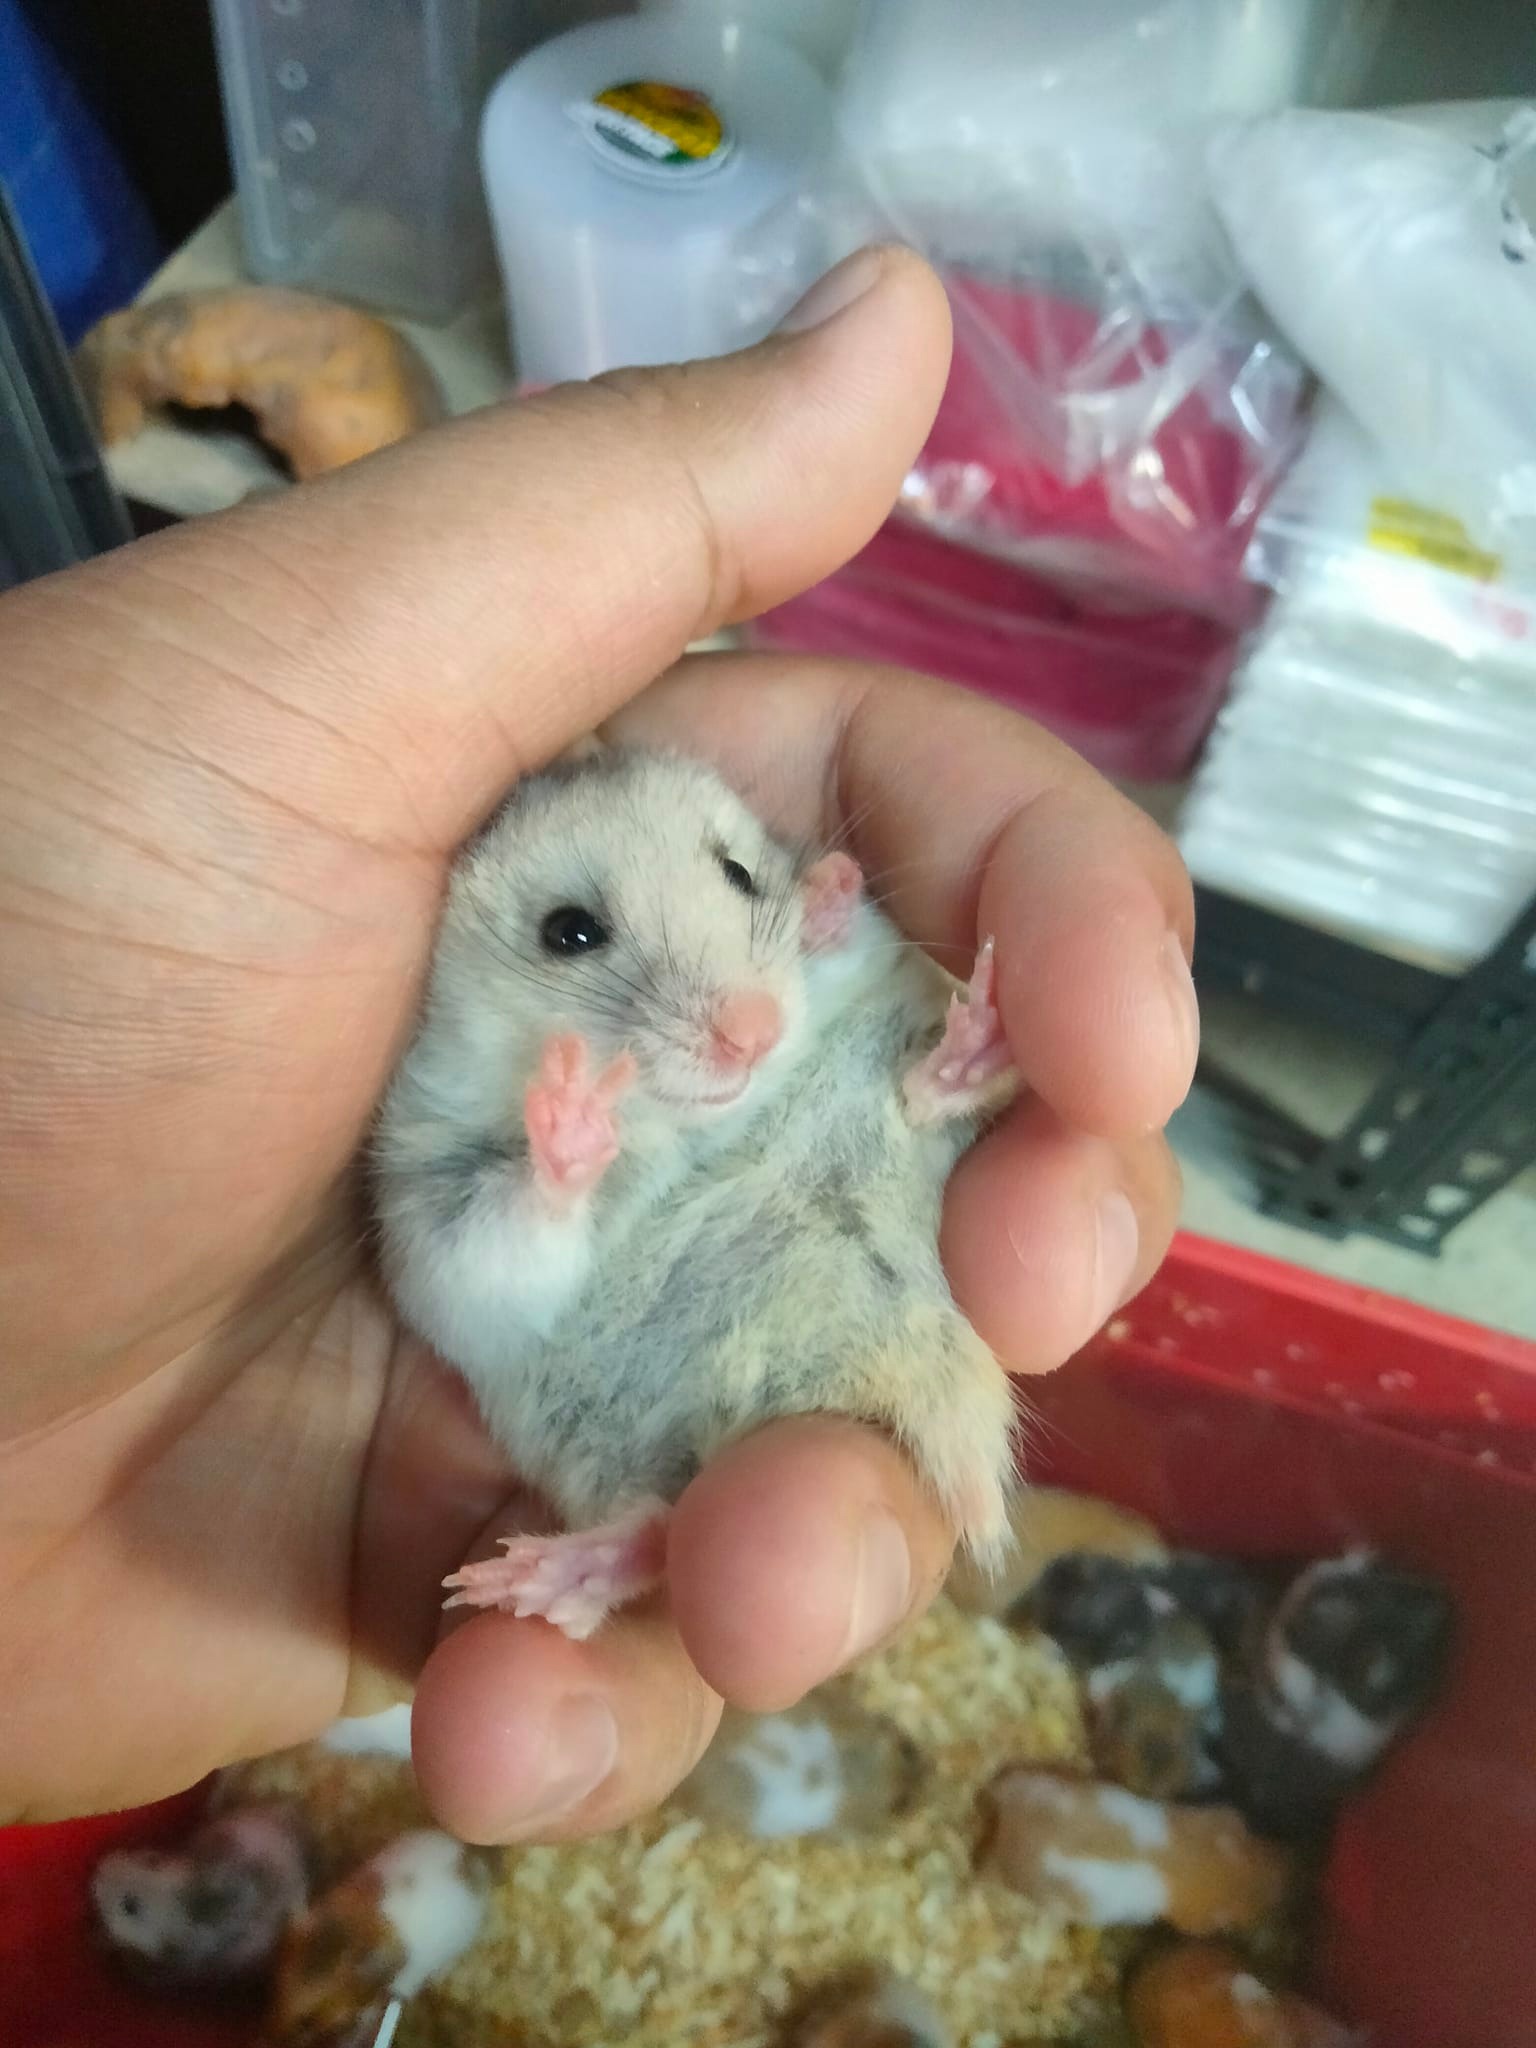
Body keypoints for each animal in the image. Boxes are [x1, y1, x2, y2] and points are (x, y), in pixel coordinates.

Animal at [373, 744, 1020, 1638]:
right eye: (569, 932)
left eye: (740, 873)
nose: (753, 1031)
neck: (695, 1127)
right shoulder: (434, 1209)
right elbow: (508, 1241)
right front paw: (571, 1112)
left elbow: (847, 949)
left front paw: (826, 891)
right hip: (608, 1452)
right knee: (657, 1525)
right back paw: (534, 1580)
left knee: (921, 1098)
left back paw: (977, 1034)